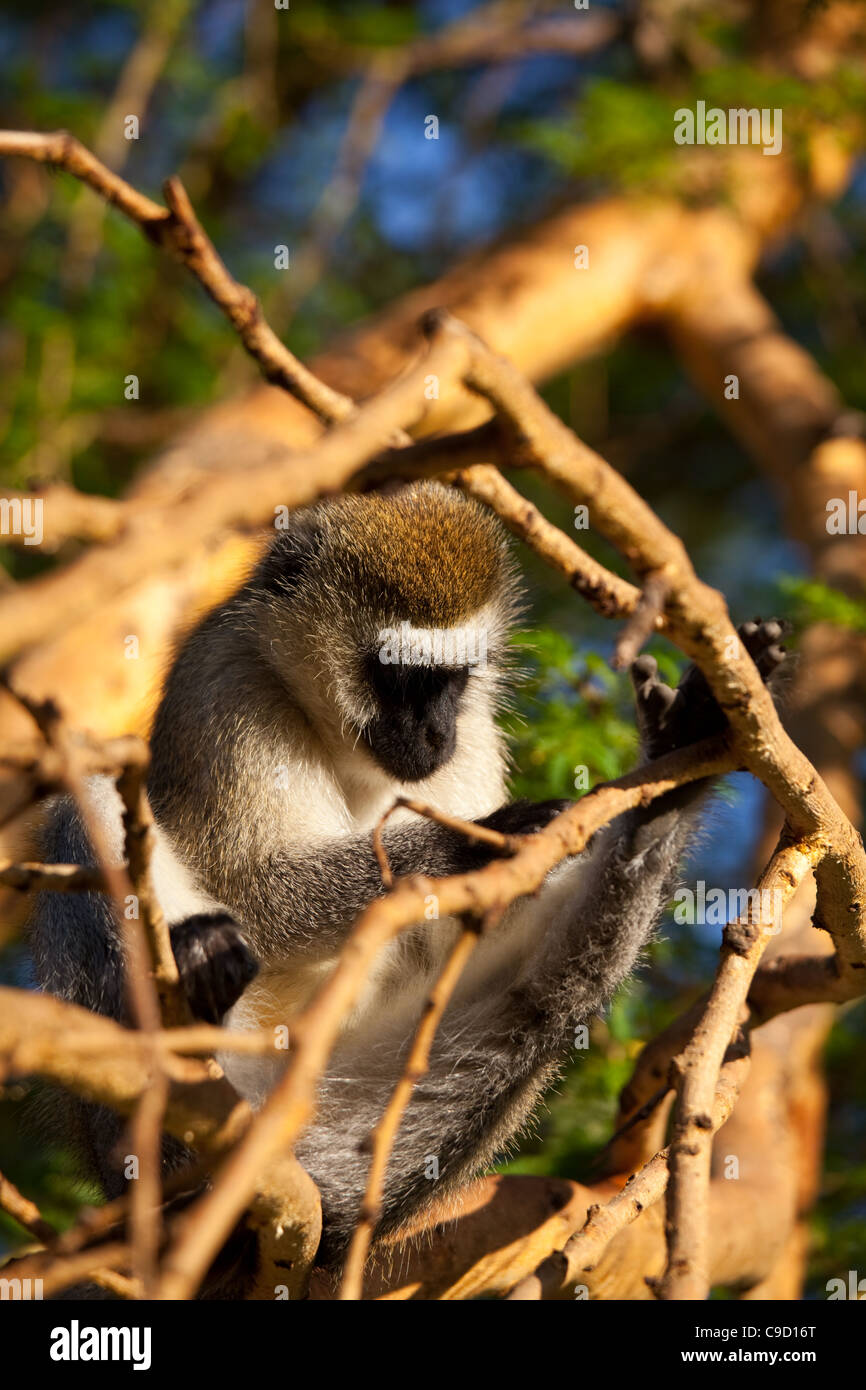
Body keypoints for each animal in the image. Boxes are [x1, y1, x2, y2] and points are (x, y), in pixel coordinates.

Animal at [29, 480, 788, 1278]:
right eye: (395, 677)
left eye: (453, 682)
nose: (433, 735)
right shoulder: (227, 684)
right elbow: (258, 890)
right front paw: (478, 842)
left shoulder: (476, 736)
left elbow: (460, 948)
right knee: (86, 803)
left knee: (547, 1001)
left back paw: (666, 796)